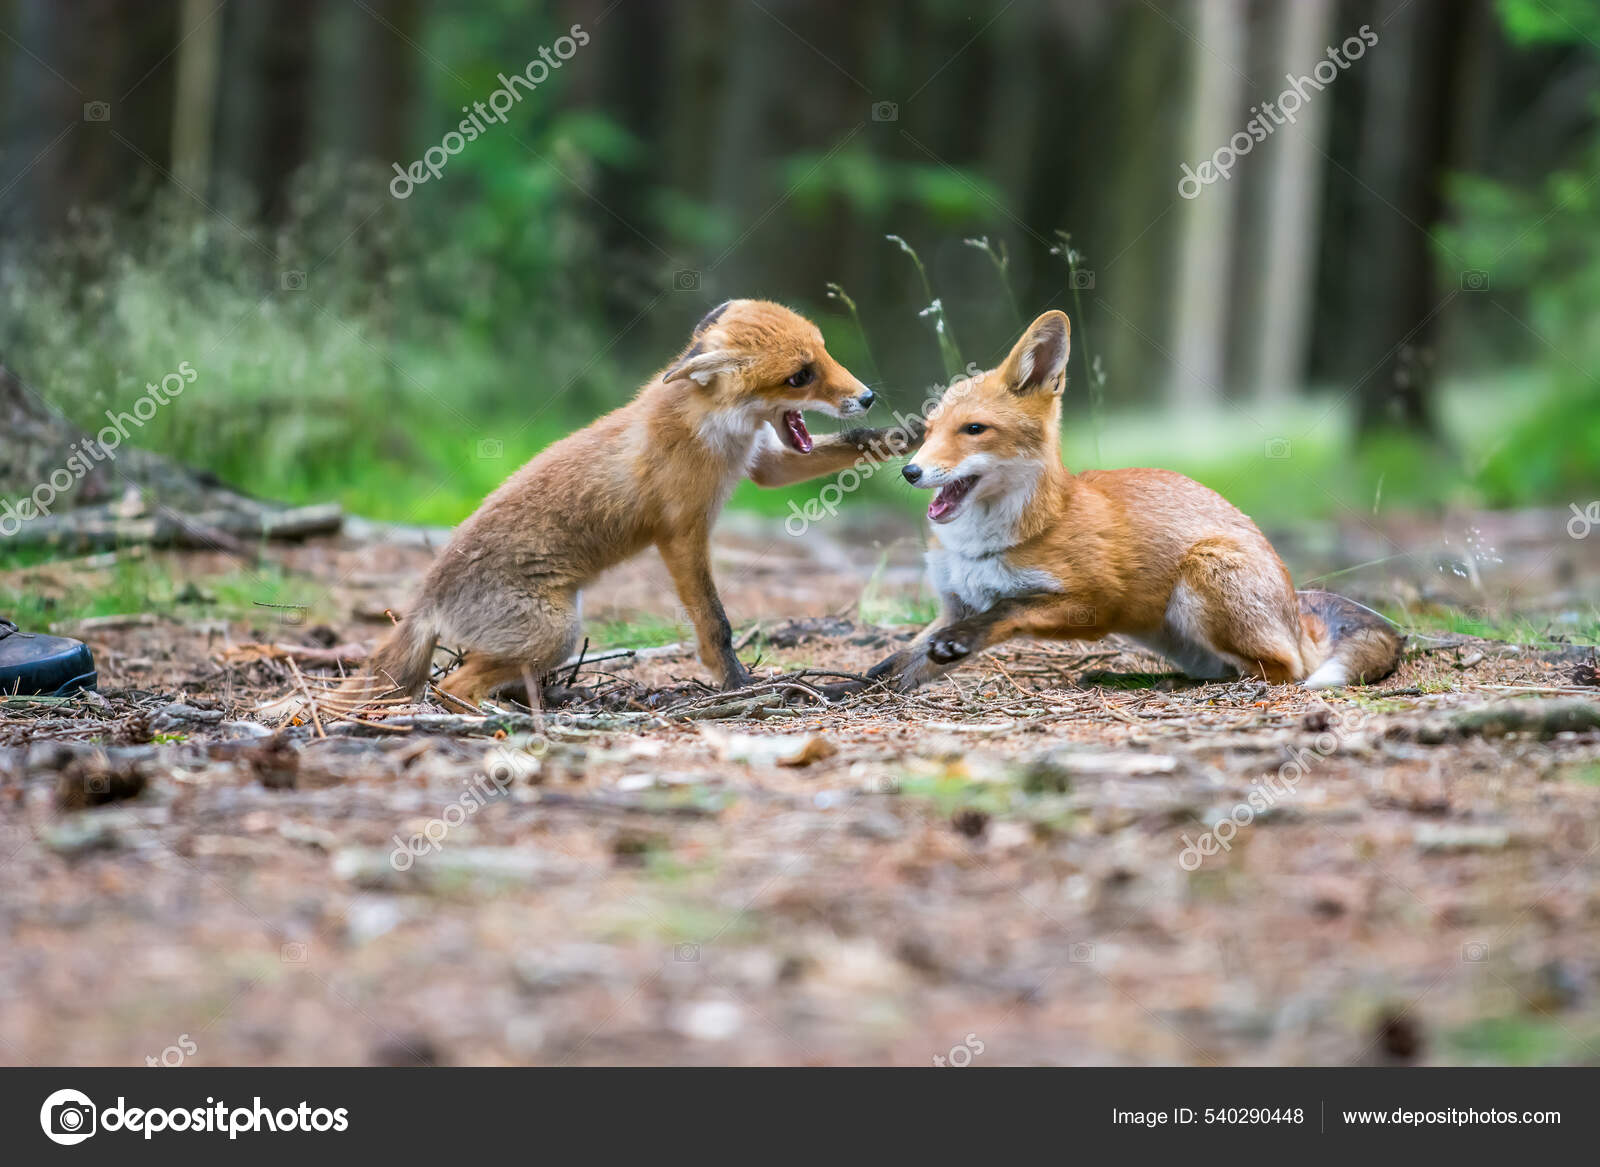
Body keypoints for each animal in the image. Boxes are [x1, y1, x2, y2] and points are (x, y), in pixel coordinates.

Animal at [332, 299, 920, 709]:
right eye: (800, 376)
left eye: (825, 353)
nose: (866, 395)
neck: (712, 430)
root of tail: (426, 596)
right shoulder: (682, 533)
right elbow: (715, 623)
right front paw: (735, 684)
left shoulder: (765, 465)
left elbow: (854, 443)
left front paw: (912, 434)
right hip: (557, 633)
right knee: (452, 687)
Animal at [866, 309, 1404, 693]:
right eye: (928, 430)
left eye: (974, 429)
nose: (910, 471)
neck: (979, 545)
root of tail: (1296, 614)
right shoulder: (953, 604)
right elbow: (889, 668)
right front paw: (849, 692)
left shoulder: (1094, 602)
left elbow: (1006, 610)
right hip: (1177, 636)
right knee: (1221, 670)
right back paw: (1131, 677)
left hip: (1205, 574)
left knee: (1279, 670)